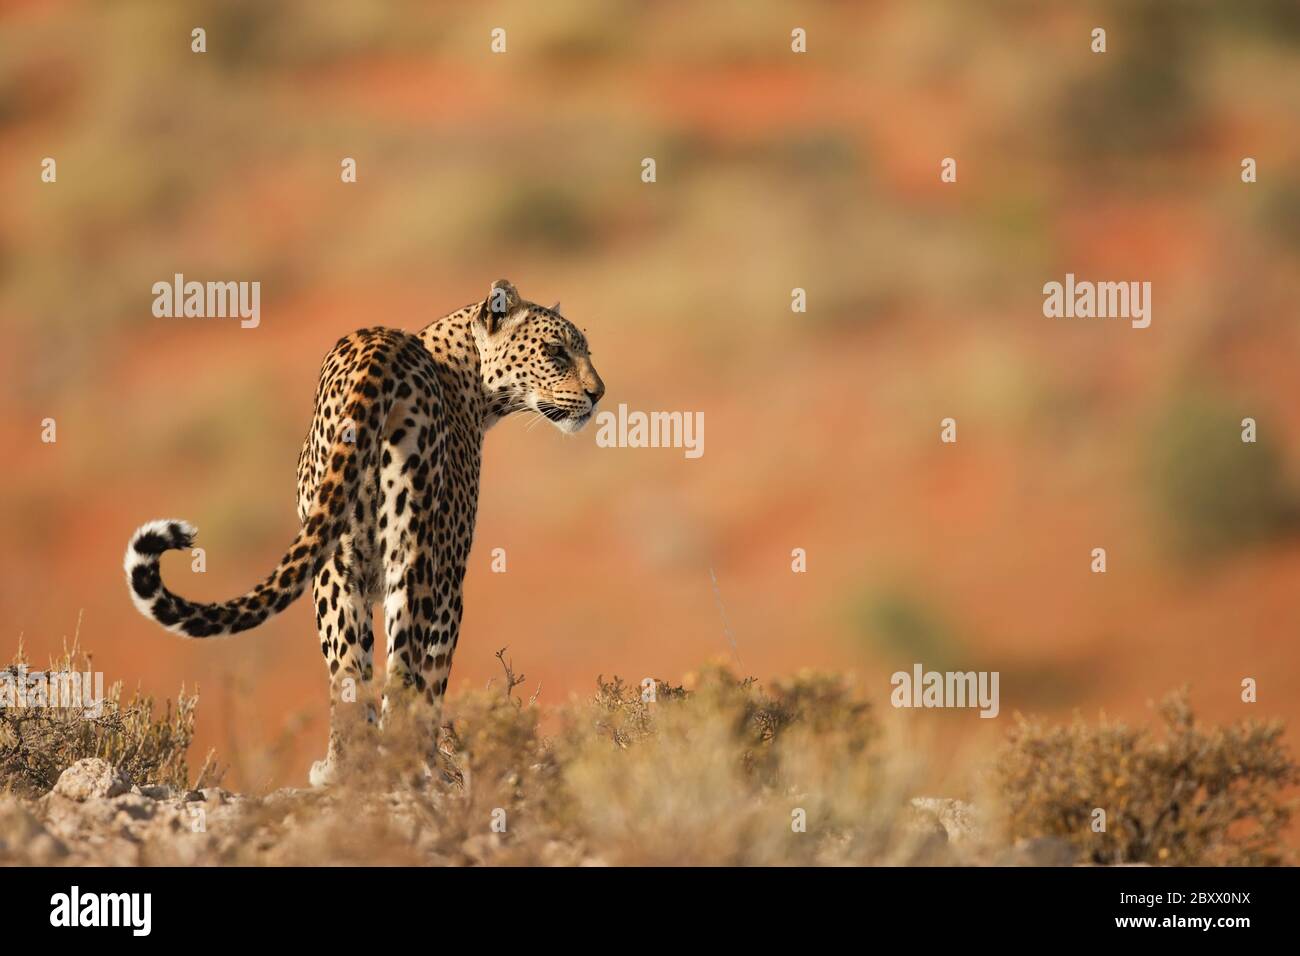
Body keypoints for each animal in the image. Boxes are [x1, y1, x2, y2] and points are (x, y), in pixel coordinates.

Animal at [123, 280, 605, 786]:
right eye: (556, 352)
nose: (599, 394)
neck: (473, 383)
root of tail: (377, 347)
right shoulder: (449, 584)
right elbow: (430, 684)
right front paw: (430, 766)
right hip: (413, 560)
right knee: (400, 675)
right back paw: (401, 766)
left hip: (333, 562)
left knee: (348, 673)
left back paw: (343, 769)